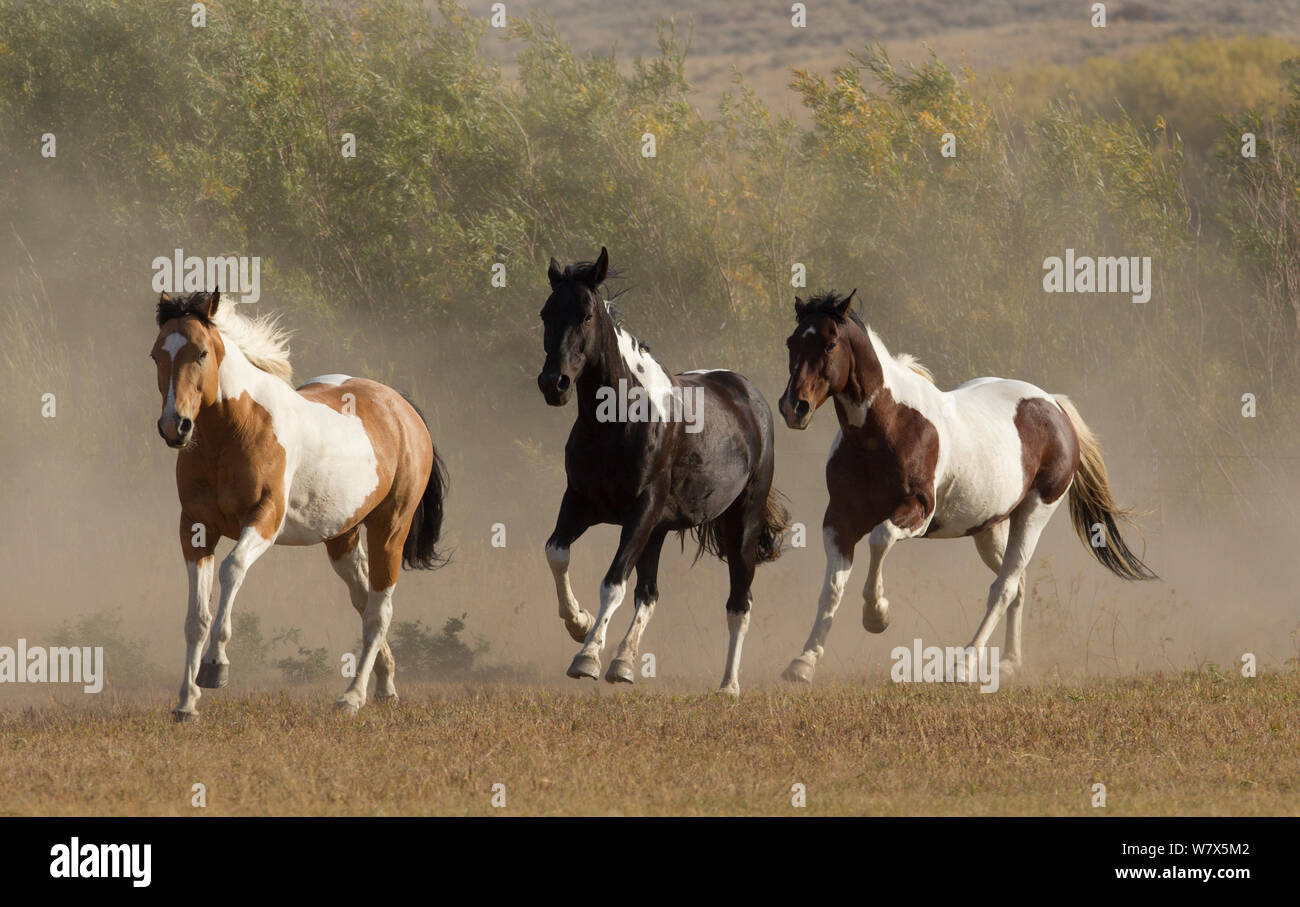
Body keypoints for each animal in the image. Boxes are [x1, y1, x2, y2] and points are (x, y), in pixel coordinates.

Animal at [149, 289, 448, 721]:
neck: (232, 432)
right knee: (364, 601)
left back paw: (352, 696)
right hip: (342, 538)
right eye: (157, 354)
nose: (175, 426)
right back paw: (385, 687)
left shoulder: (264, 520)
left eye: (202, 352)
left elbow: (232, 570)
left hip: (390, 528)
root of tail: (402, 409)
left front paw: (215, 667)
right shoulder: (195, 529)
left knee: (379, 612)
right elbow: (196, 617)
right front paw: (186, 703)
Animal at [536, 248, 790, 695]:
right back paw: (623, 663)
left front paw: (586, 656)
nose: (555, 383)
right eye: (546, 313)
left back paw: (728, 685)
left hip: (740, 524)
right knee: (649, 594)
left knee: (738, 603)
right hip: (657, 532)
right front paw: (578, 623)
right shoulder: (582, 503)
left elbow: (613, 583)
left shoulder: (640, 511)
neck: (618, 420)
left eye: (586, 314)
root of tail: (749, 395)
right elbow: (557, 553)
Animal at [776, 289, 1156, 684]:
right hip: (988, 528)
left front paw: (877, 616)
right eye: (792, 342)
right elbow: (832, 587)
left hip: (1034, 514)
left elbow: (880, 539)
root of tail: (1053, 405)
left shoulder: (917, 512)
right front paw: (804, 662)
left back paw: (964, 663)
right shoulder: (839, 519)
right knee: (1017, 583)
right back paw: (1009, 662)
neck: (886, 427)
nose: (794, 407)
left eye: (830, 342)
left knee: (1003, 588)